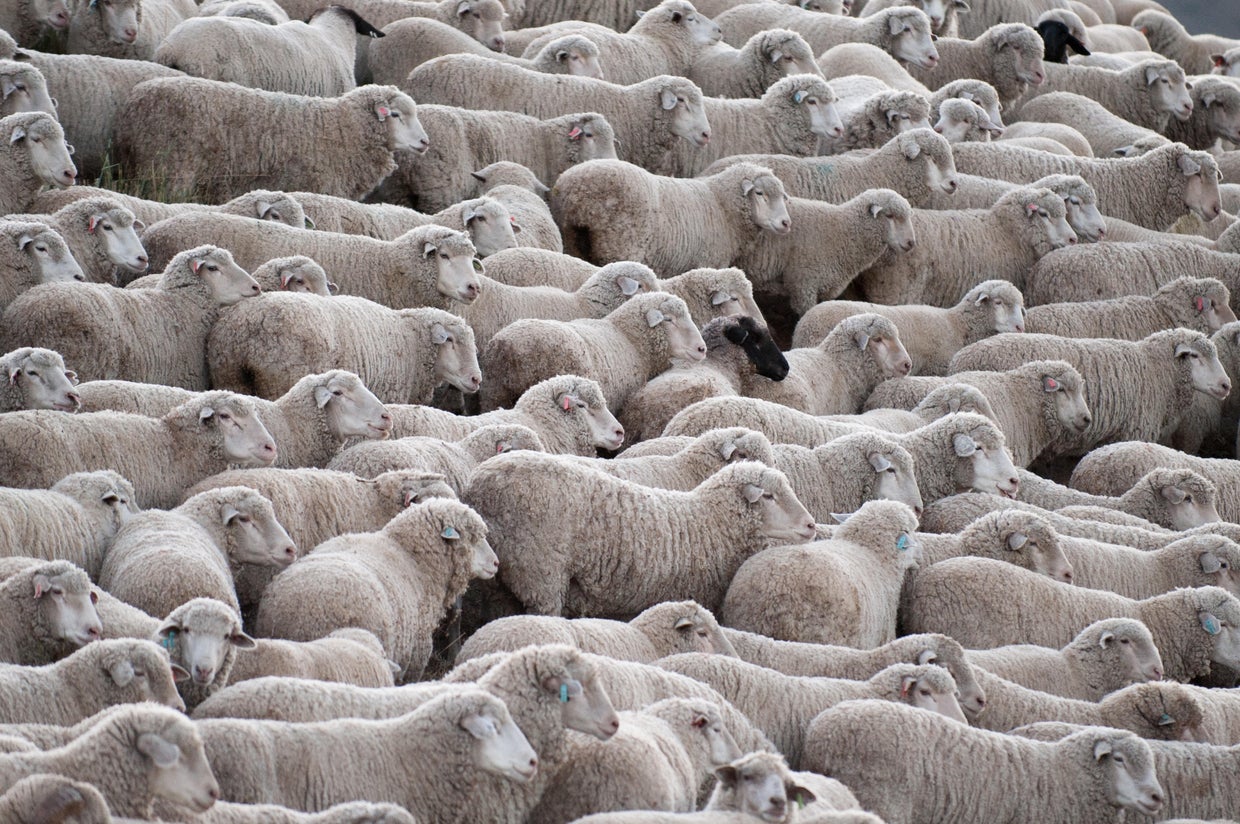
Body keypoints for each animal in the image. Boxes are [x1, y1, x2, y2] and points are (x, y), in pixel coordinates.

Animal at [115, 79, 428, 203]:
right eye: (396, 115)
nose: (425, 142)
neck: (341, 127)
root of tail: (135, 102)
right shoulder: (321, 187)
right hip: (169, 171)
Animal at [464, 455, 814, 617]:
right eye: (768, 496)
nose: (811, 525)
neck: (708, 522)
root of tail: (478, 484)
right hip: (540, 573)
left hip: (500, 582)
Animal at [551, 160, 787, 277]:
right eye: (760, 193)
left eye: (782, 195)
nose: (786, 223)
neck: (721, 203)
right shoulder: (709, 261)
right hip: (619, 246)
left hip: (572, 238)